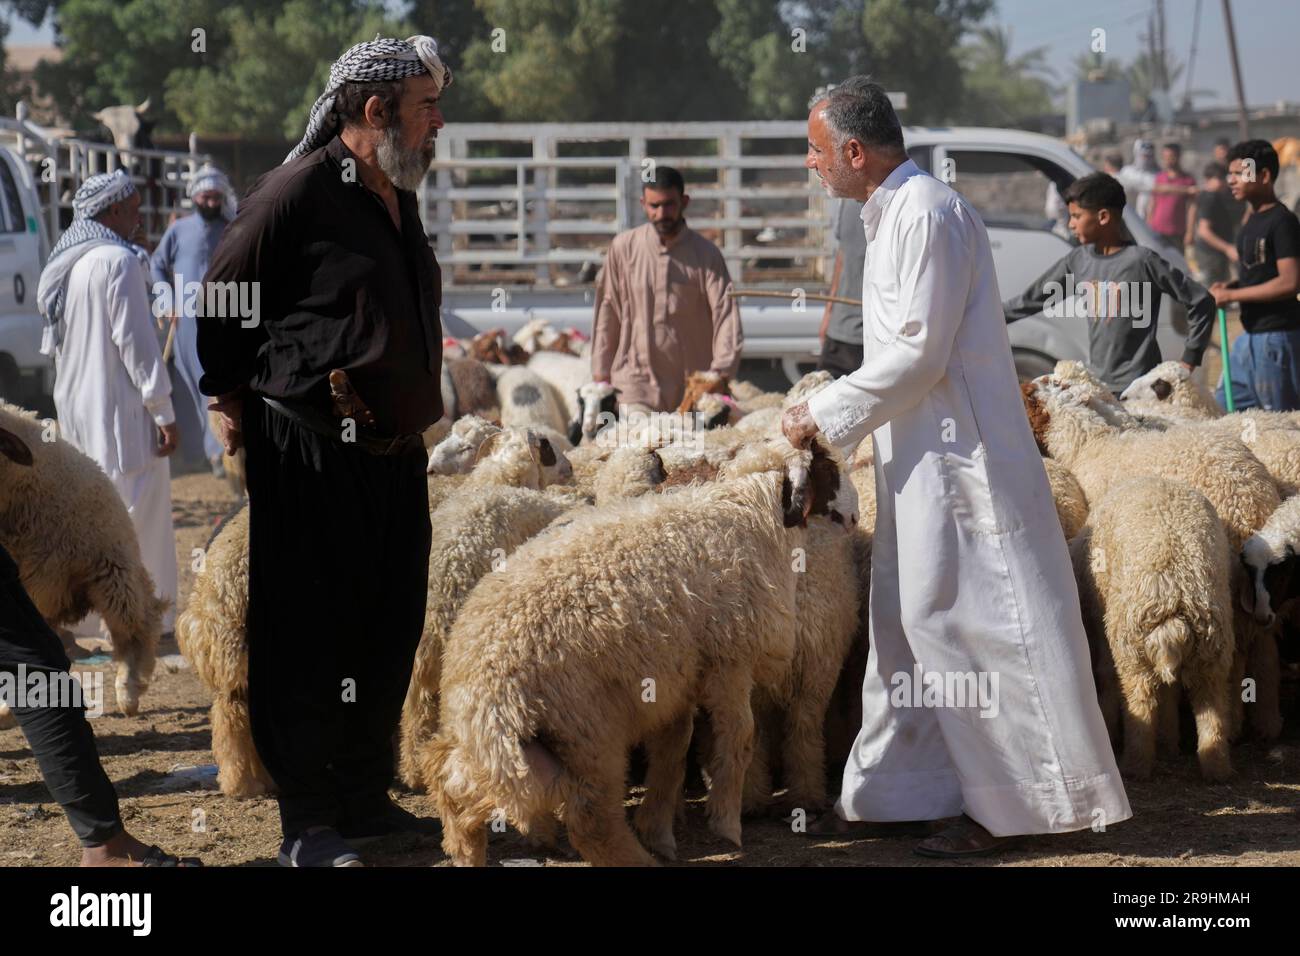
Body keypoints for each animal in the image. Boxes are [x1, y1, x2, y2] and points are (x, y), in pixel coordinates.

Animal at [421, 437, 857, 866]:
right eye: (826, 468)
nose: (854, 519)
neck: (752, 515)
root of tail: (480, 678)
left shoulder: (678, 679)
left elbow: (673, 750)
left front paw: (659, 830)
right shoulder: (730, 660)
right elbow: (740, 737)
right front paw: (726, 823)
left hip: (523, 750)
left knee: (454, 779)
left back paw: (465, 849)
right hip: (586, 729)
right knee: (591, 820)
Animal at [1069, 476, 1235, 781]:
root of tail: (1175, 589)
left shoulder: (1101, 626)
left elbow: (1106, 677)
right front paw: (1168, 743)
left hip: (1131, 649)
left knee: (1139, 703)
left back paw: (1135, 765)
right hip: (1213, 651)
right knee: (1213, 710)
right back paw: (1216, 769)